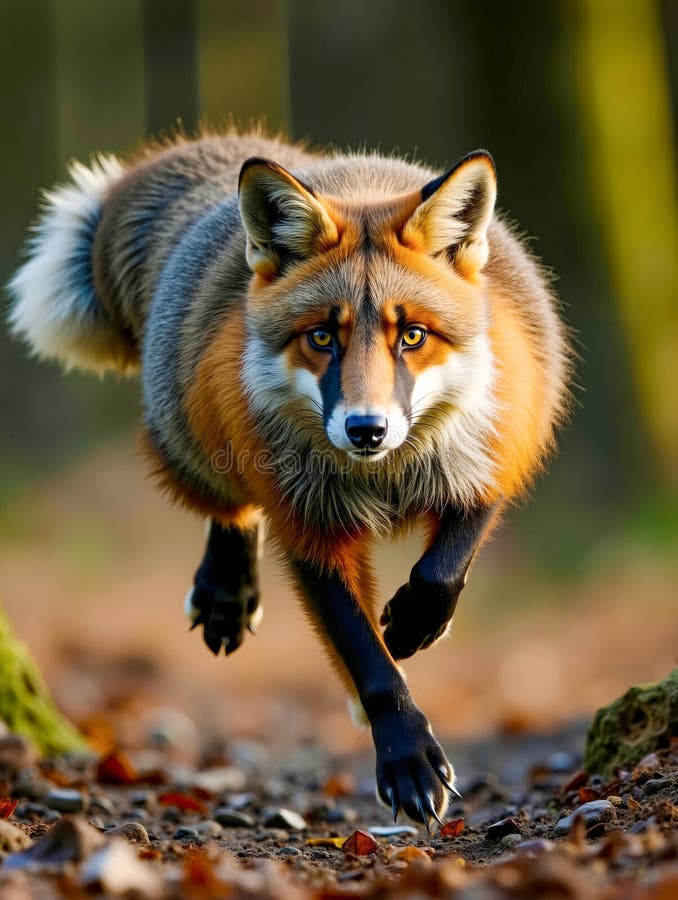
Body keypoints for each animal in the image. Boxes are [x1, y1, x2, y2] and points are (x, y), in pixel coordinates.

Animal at [8, 129, 570, 829]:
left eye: (413, 335)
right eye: (323, 337)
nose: (366, 430)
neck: (385, 480)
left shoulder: (495, 453)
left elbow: (444, 567)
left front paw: (414, 624)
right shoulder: (309, 526)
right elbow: (367, 660)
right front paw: (407, 757)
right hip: (187, 444)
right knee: (229, 508)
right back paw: (227, 593)